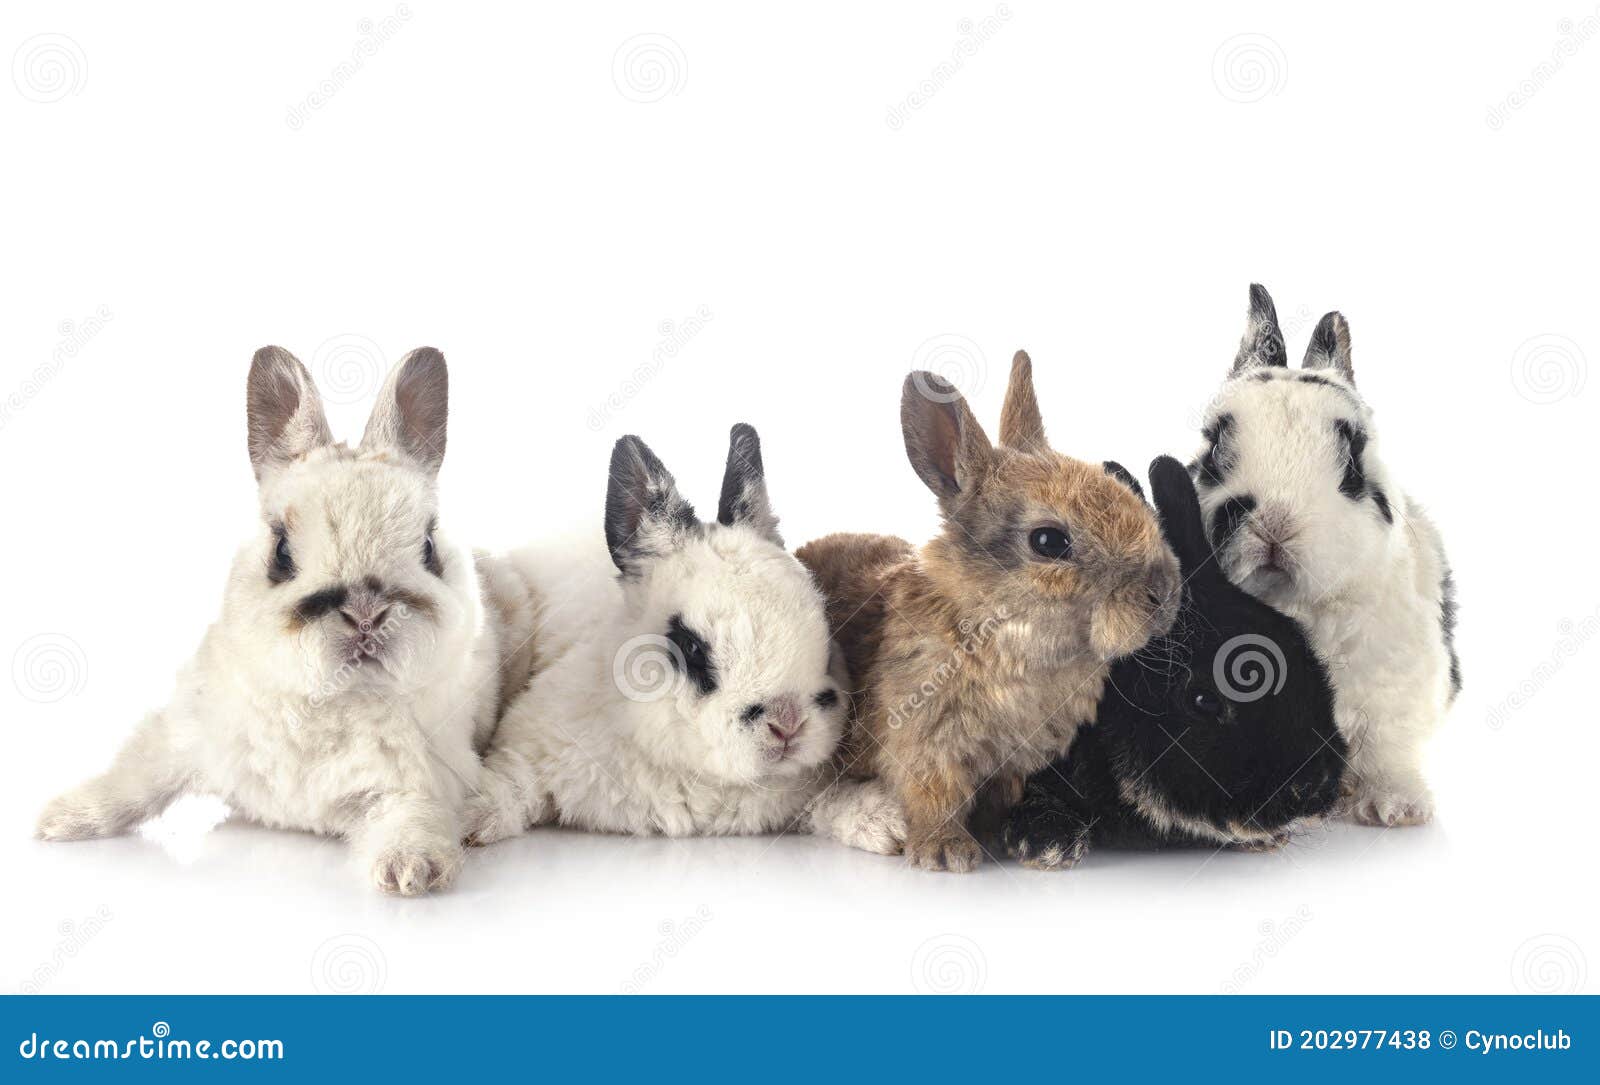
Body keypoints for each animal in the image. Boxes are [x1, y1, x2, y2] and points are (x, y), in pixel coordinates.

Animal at [34, 346, 542, 895]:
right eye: (281, 551)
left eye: (428, 549)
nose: (366, 614)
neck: (328, 701)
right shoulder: (180, 737)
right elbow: (132, 781)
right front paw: (59, 819)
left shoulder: (418, 781)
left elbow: (412, 817)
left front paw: (411, 870)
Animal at [463, 424, 907, 855]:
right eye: (691, 646)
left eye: (824, 625)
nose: (787, 725)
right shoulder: (527, 747)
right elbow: (509, 783)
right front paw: (467, 819)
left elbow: (831, 802)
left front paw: (888, 825)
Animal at [796, 352, 1183, 872]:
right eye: (1049, 541)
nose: (1163, 593)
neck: (993, 625)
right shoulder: (926, 747)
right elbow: (934, 798)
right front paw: (946, 854)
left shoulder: (1014, 760)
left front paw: (1000, 838)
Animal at [1188, 285, 1459, 827]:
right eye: (1212, 450)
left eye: (1352, 460)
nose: (1275, 523)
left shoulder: (1398, 686)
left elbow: (1386, 749)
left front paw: (1396, 809)